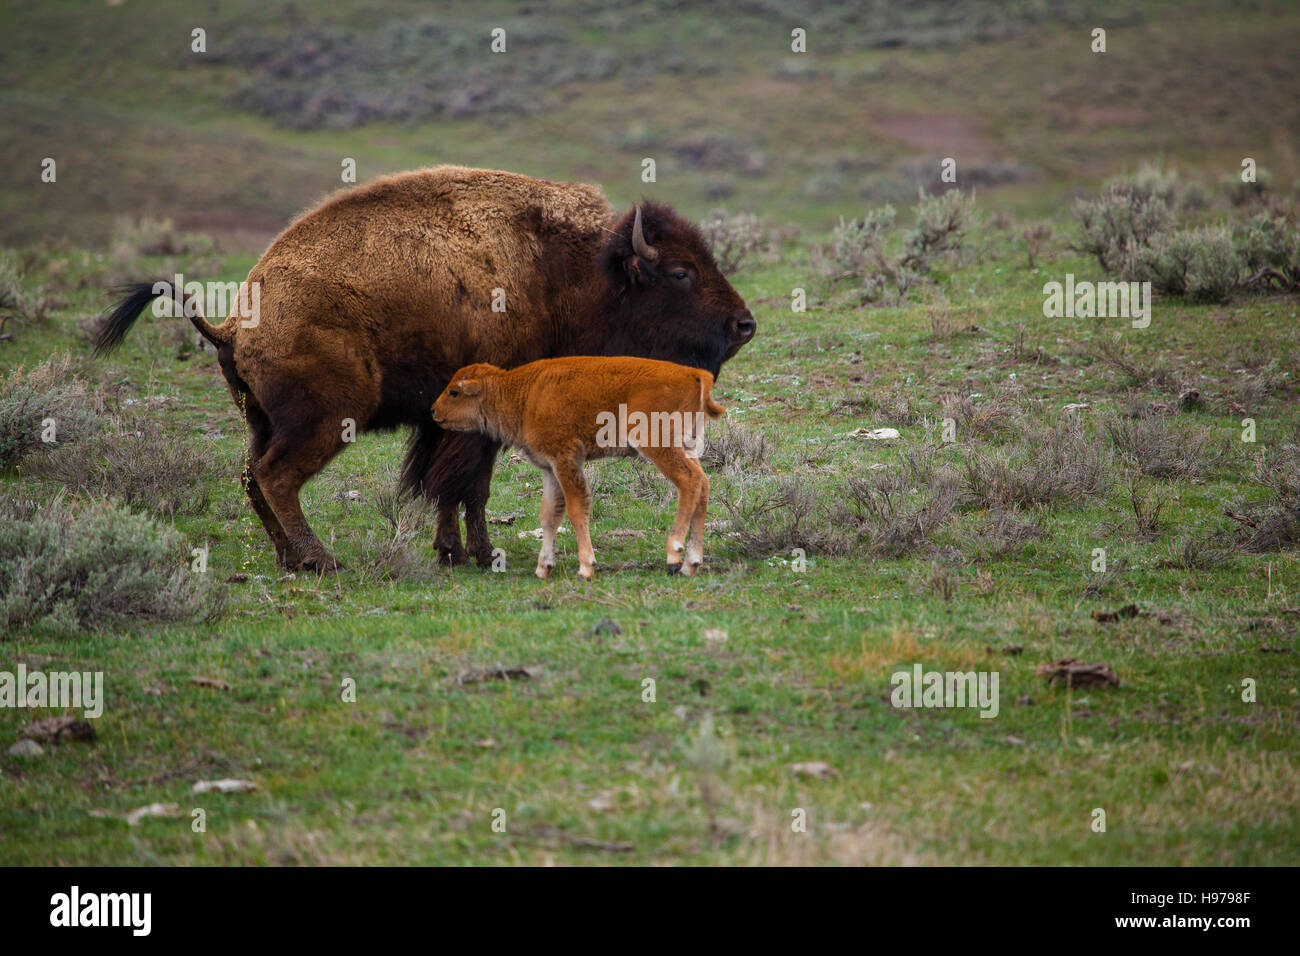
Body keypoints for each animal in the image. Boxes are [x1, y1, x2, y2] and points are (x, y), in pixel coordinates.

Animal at [94, 165, 756, 572]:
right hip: (327, 419)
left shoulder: (451, 421)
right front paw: (476, 554)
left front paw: (452, 551)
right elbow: (468, 485)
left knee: (251, 475)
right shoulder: (481, 423)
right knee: (277, 476)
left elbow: (449, 485)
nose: (744, 325)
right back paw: (321, 559)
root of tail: (233, 324)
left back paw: (290, 558)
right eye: (680, 272)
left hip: (261, 419)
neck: (568, 270)